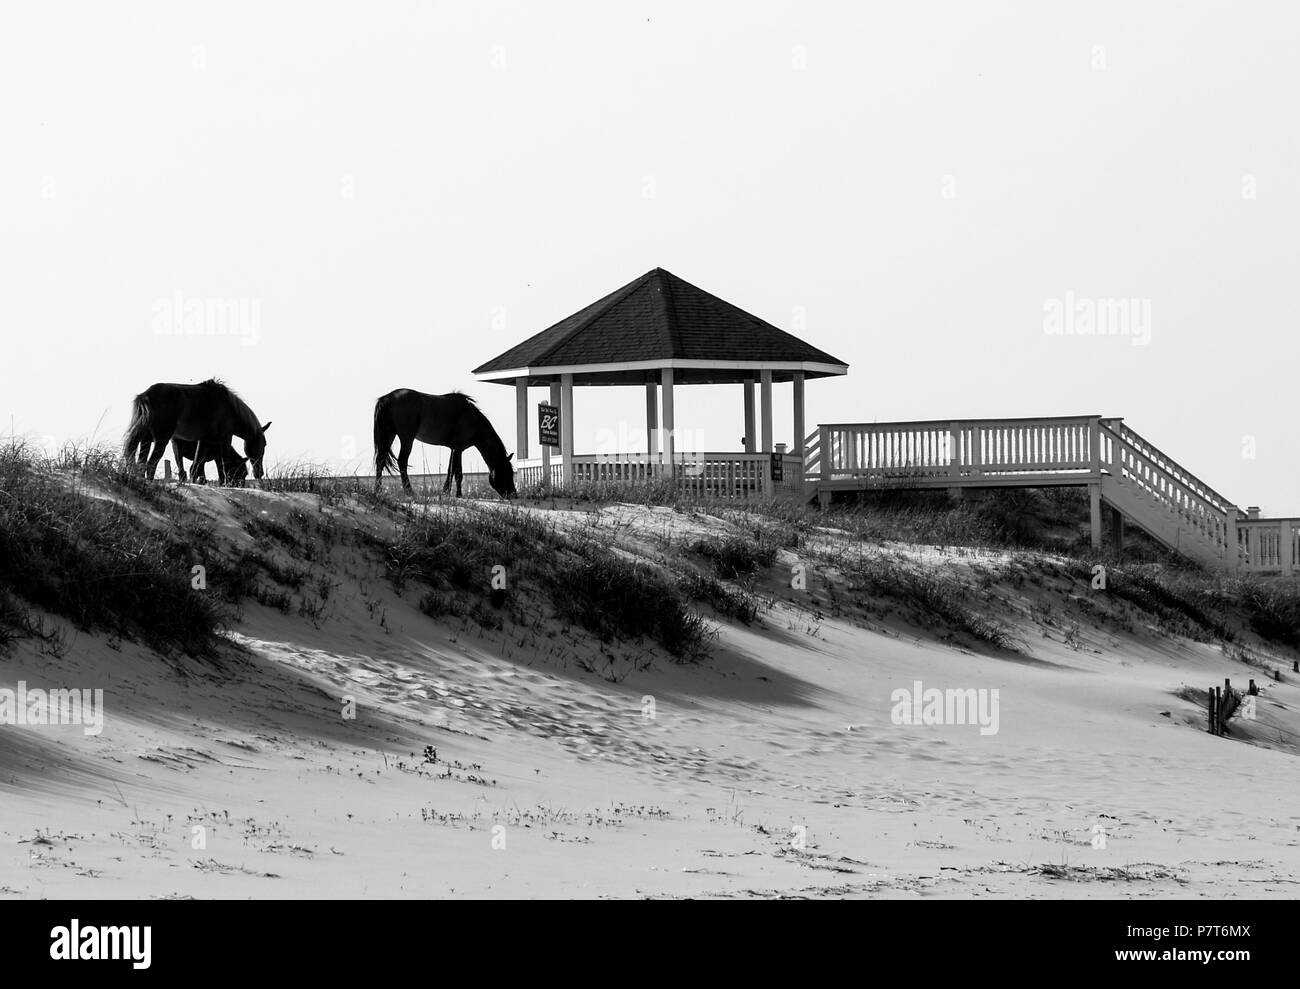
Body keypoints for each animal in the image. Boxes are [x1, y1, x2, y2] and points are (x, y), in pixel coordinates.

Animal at [123, 379, 271, 484]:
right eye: (264, 445)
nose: (259, 473)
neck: (230, 408)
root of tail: (146, 396)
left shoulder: (204, 440)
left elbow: (197, 466)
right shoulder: (225, 439)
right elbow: (222, 464)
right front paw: (223, 484)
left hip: (146, 439)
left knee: (142, 462)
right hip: (161, 439)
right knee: (151, 463)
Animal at [373, 389, 515, 498]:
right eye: (507, 472)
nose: (514, 494)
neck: (473, 420)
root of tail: (387, 398)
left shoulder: (454, 449)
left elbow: (451, 470)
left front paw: (448, 492)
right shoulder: (458, 449)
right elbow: (458, 472)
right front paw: (457, 494)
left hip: (389, 435)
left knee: (380, 459)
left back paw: (378, 490)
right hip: (406, 438)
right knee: (402, 461)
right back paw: (409, 491)